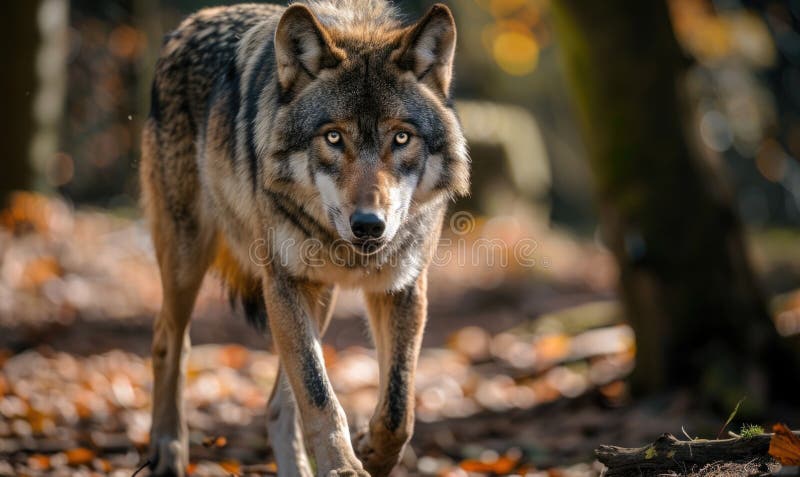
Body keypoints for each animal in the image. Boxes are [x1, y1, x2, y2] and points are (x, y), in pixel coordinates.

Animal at [140, 1, 469, 475]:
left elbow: (397, 409)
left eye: (401, 137)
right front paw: (346, 466)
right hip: (188, 261)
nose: (369, 224)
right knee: (169, 342)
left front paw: (371, 453)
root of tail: (190, 23)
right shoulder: (283, 282)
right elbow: (320, 395)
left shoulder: (402, 286)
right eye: (333, 136)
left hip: (320, 298)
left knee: (279, 403)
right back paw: (166, 448)